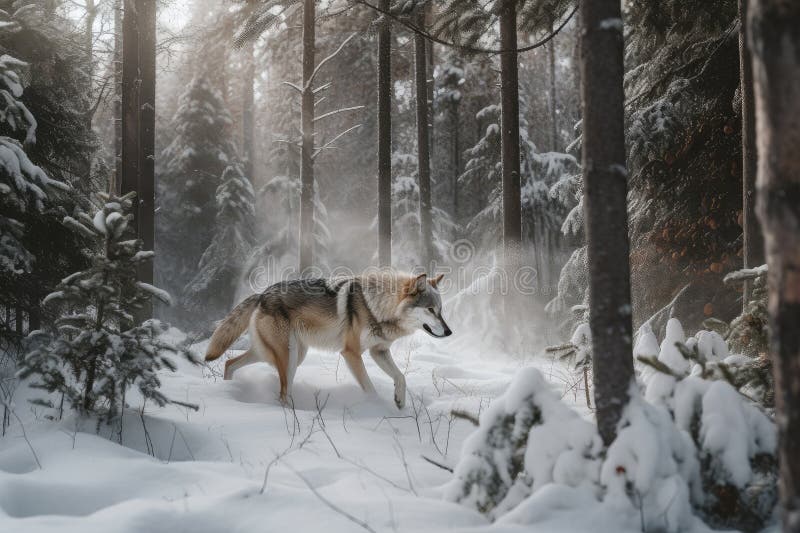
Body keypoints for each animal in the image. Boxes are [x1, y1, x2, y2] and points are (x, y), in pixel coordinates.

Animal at [204, 271, 452, 409]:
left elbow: (401, 377)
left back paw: (227, 389)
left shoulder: (378, 351)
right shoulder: (351, 354)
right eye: (430, 310)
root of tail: (262, 294)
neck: (378, 306)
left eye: (441, 310)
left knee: (230, 363)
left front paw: (399, 402)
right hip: (289, 357)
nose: (449, 332)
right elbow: (369, 388)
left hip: (286, 354)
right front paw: (376, 408)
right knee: (283, 392)